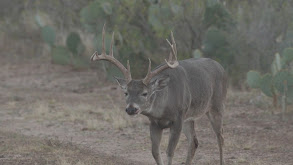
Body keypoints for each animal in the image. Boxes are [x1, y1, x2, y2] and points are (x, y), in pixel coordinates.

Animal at [90, 24, 227, 165]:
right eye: (126, 92)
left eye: (145, 93)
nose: (131, 109)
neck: (163, 109)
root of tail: (221, 67)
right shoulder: (154, 123)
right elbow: (155, 152)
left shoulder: (177, 120)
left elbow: (170, 152)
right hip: (189, 117)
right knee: (194, 142)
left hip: (217, 106)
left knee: (220, 137)